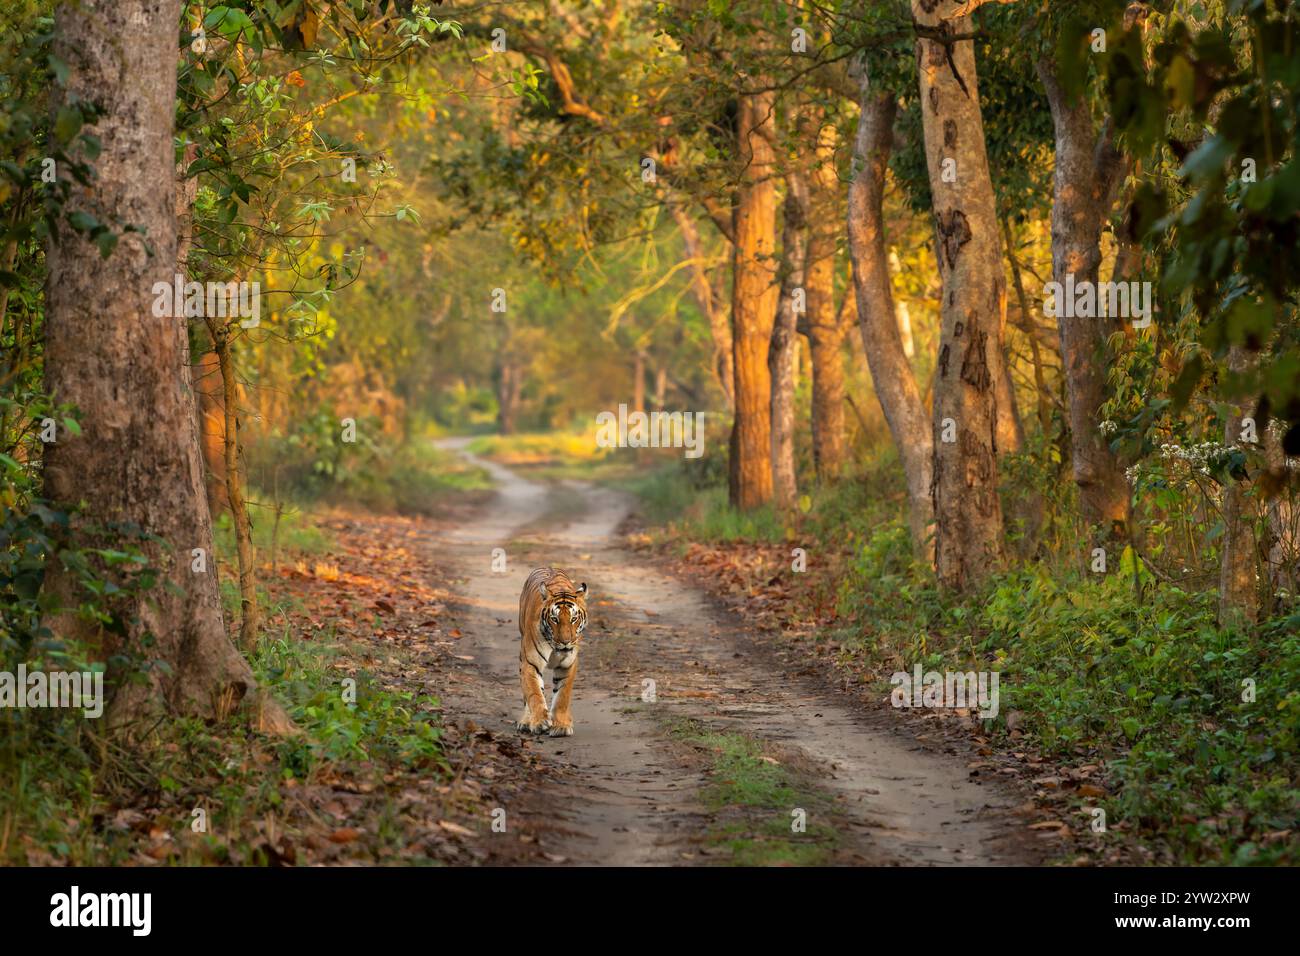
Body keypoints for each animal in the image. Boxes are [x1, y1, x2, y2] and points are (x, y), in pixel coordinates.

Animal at [516, 567, 589, 737]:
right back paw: (526, 721)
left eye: (573, 619)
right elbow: (534, 694)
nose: (565, 642)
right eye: (554, 619)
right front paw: (540, 722)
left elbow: (562, 696)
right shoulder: (530, 663)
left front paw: (561, 726)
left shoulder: (568, 665)